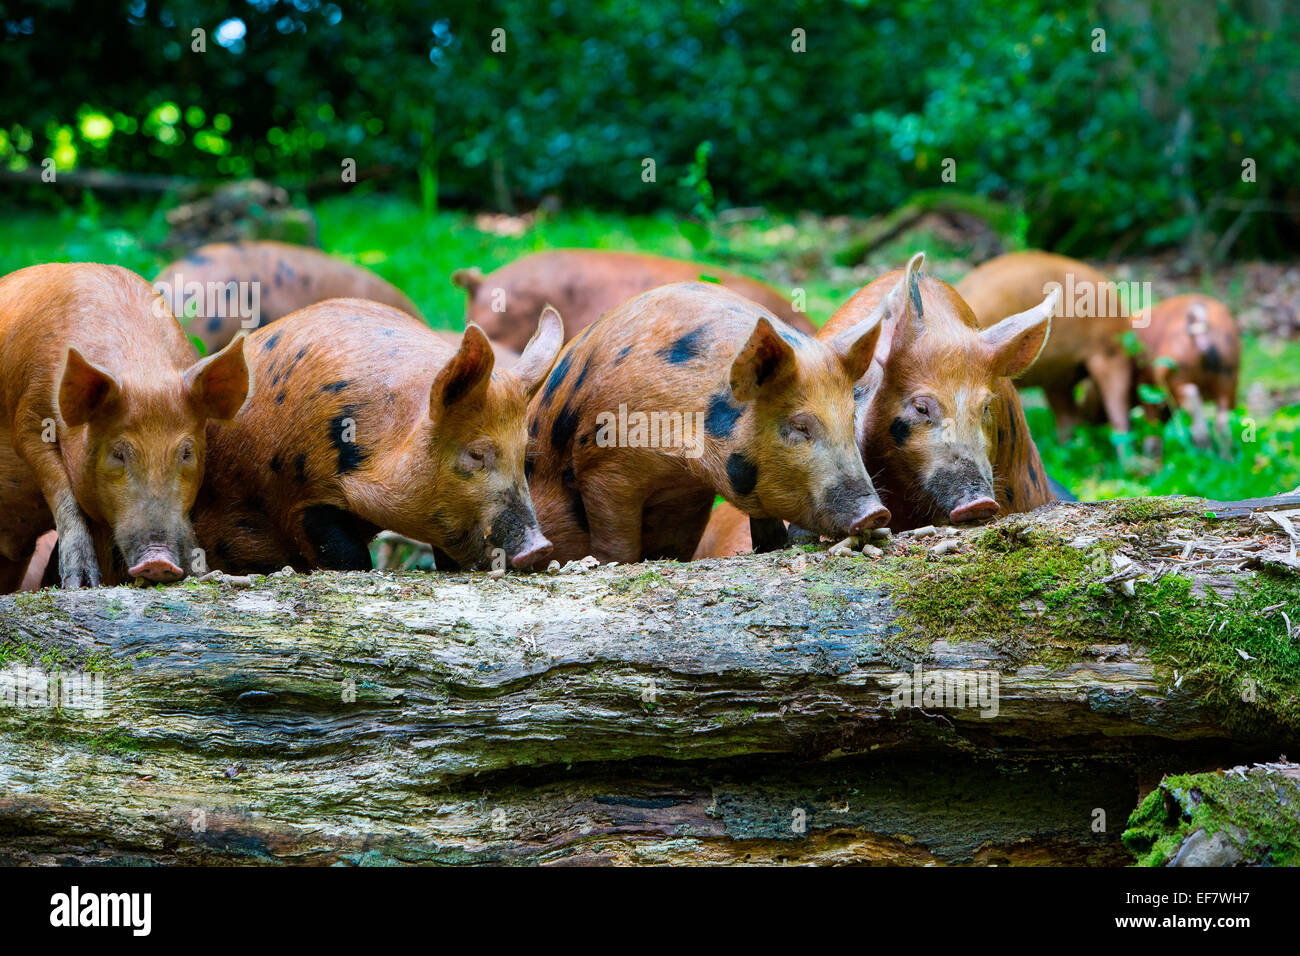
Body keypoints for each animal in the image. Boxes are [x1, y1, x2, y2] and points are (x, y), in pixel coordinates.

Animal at [0, 263, 250, 591]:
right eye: (117, 453)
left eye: (187, 453)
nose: (159, 561)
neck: (141, 367)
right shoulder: (28, 418)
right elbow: (64, 494)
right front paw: (81, 585)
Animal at [525, 282, 890, 565]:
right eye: (800, 426)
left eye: (851, 417)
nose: (877, 512)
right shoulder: (602, 469)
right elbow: (616, 543)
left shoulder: (685, 500)